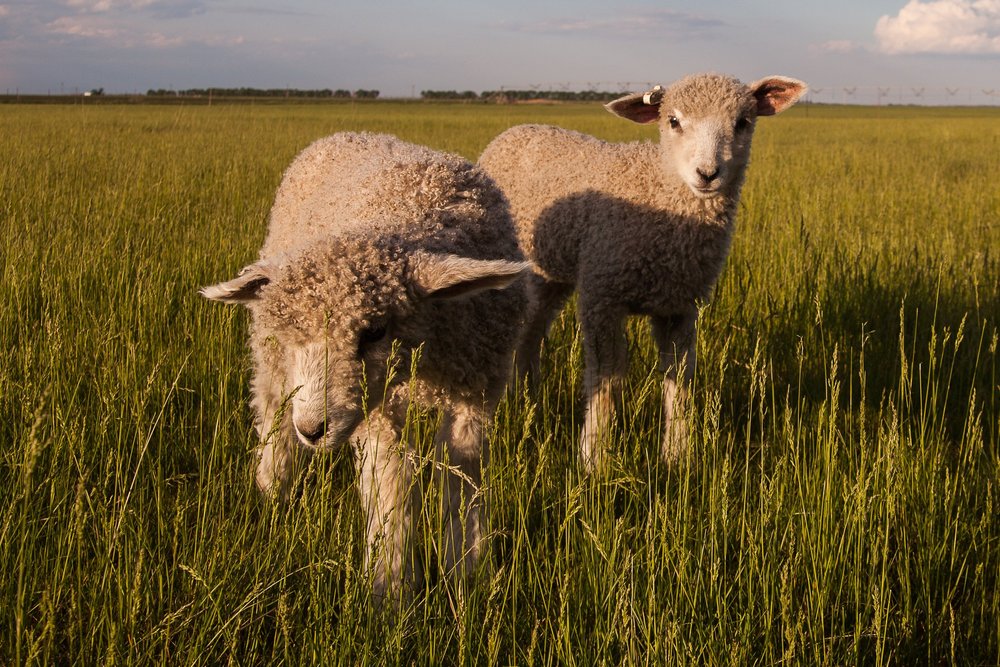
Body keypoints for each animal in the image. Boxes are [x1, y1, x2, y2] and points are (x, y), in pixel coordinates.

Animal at [201, 132, 531, 600]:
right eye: (296, 334)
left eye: (374, 331)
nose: (312, 430)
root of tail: (348, 134)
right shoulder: (378, 412)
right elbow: (389, 485)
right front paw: (390, 587)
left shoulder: (475, 391)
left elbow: (460, 479)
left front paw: (467, 573)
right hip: (270, 354)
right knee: (270, 407)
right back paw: (272, 487)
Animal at [478, 73, 806, 470]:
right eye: (673, 121)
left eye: (743, 122)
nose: (707, 174)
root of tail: (515, 130)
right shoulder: (601, 294)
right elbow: (606, 379)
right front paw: (594, 458)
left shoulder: (680, 305)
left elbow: (680, 379)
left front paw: (677, 456)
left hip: (549, 272)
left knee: (531, 332)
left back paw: (528, 401)